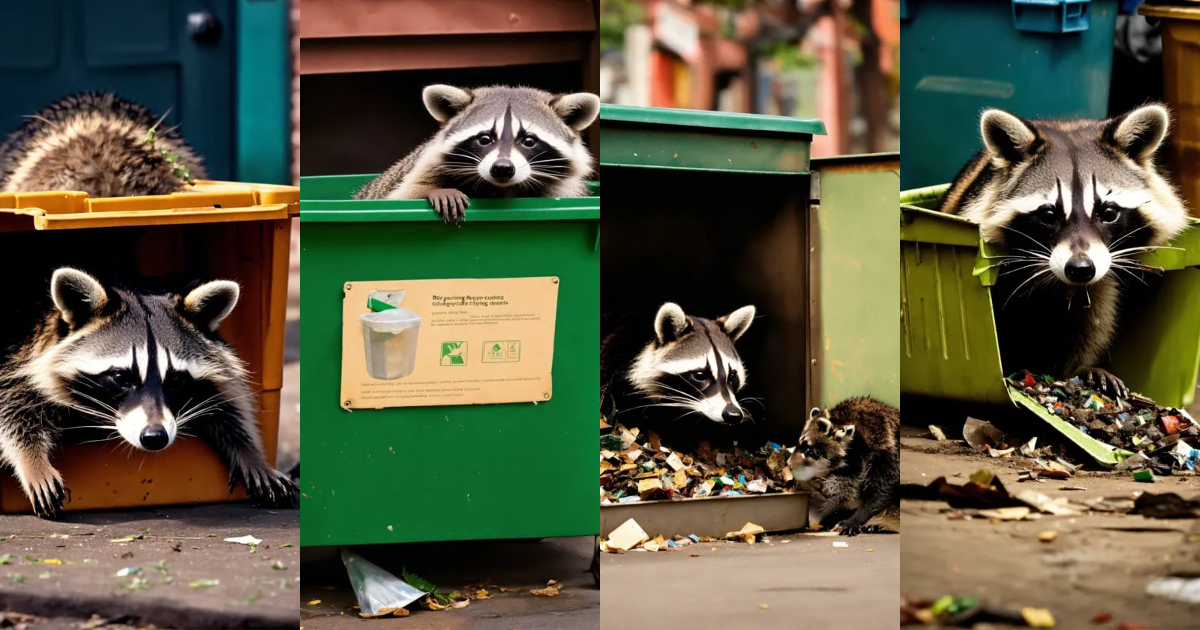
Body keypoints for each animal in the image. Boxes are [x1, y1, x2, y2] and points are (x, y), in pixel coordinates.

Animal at [0, 268, 296, 517]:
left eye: (176, 380)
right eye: (121, 377)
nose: (155, 437)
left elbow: (228, 403)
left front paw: (252, 454)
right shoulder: (22, 355)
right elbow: (13, 408)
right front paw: (32, 461)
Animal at [353, 84, 599, 223]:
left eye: (529, 141)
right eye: (484, 139)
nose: (502, 169)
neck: (501, 189)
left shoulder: (565, 188)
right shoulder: (425, 166)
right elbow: (404, 194)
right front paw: (436, 191)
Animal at [787, 396, 899, 537]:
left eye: (809, 451)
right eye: (798, 445)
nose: (788, 465)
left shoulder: (883, 453)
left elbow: (882, 490)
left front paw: (859, 516)